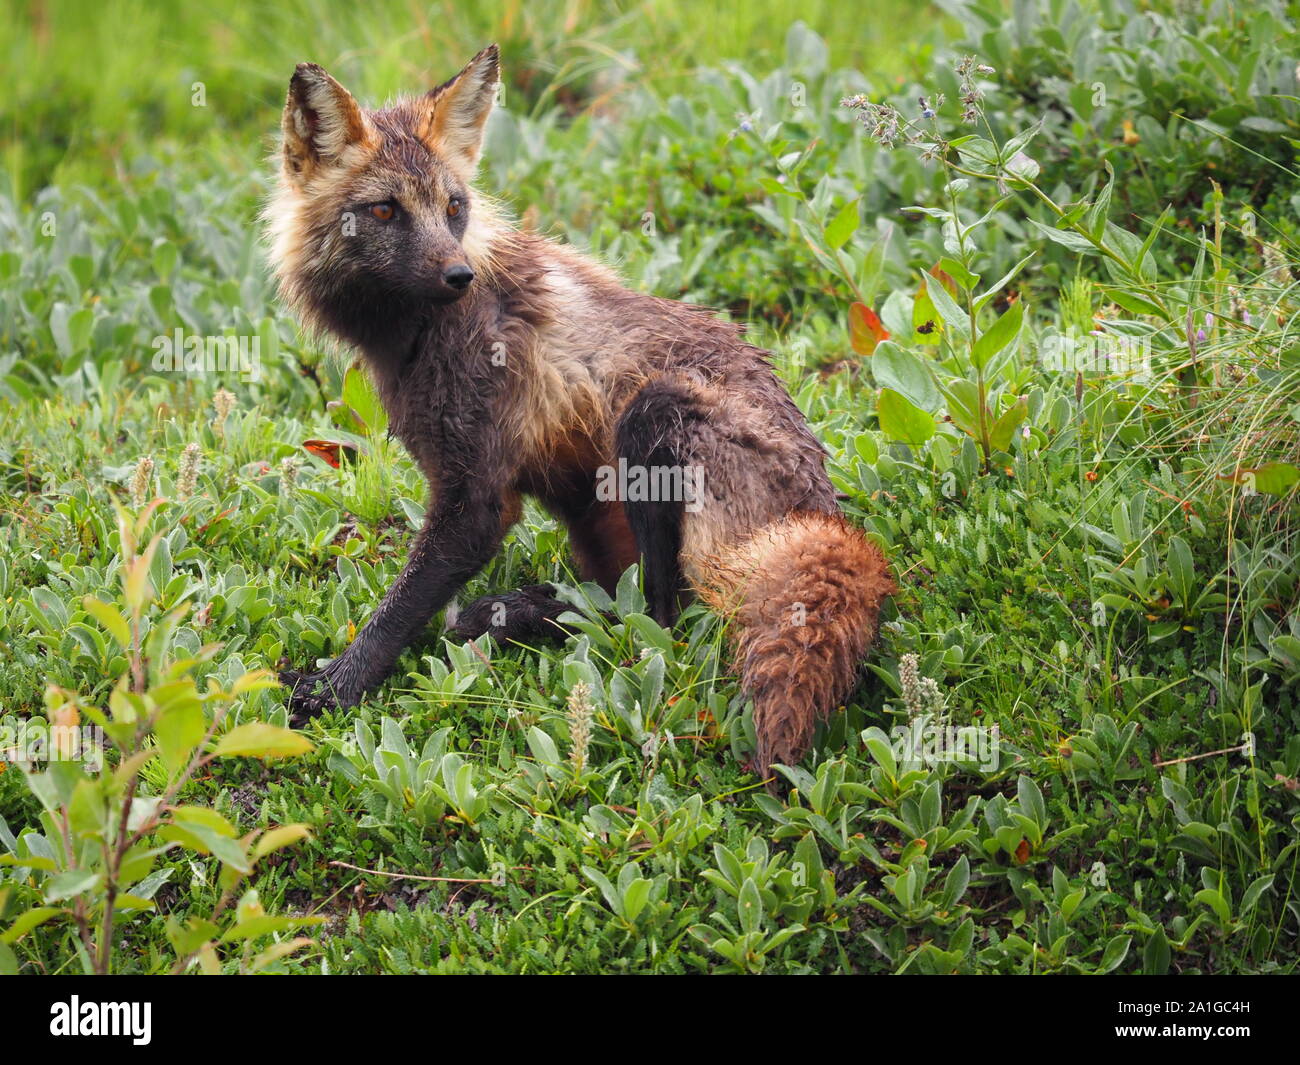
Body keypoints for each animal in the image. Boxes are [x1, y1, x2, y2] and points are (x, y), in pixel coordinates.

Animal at [266, 45, 895, 783]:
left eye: (453, 207)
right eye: (387, 210)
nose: (458, 276)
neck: (413, 338)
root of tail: (822, 513)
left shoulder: (477, 499)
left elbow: (396, 612)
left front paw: (336, 688)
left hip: (651, 416)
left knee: (659, 617)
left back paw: (526, 617)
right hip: (592, 512)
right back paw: (529, 610)